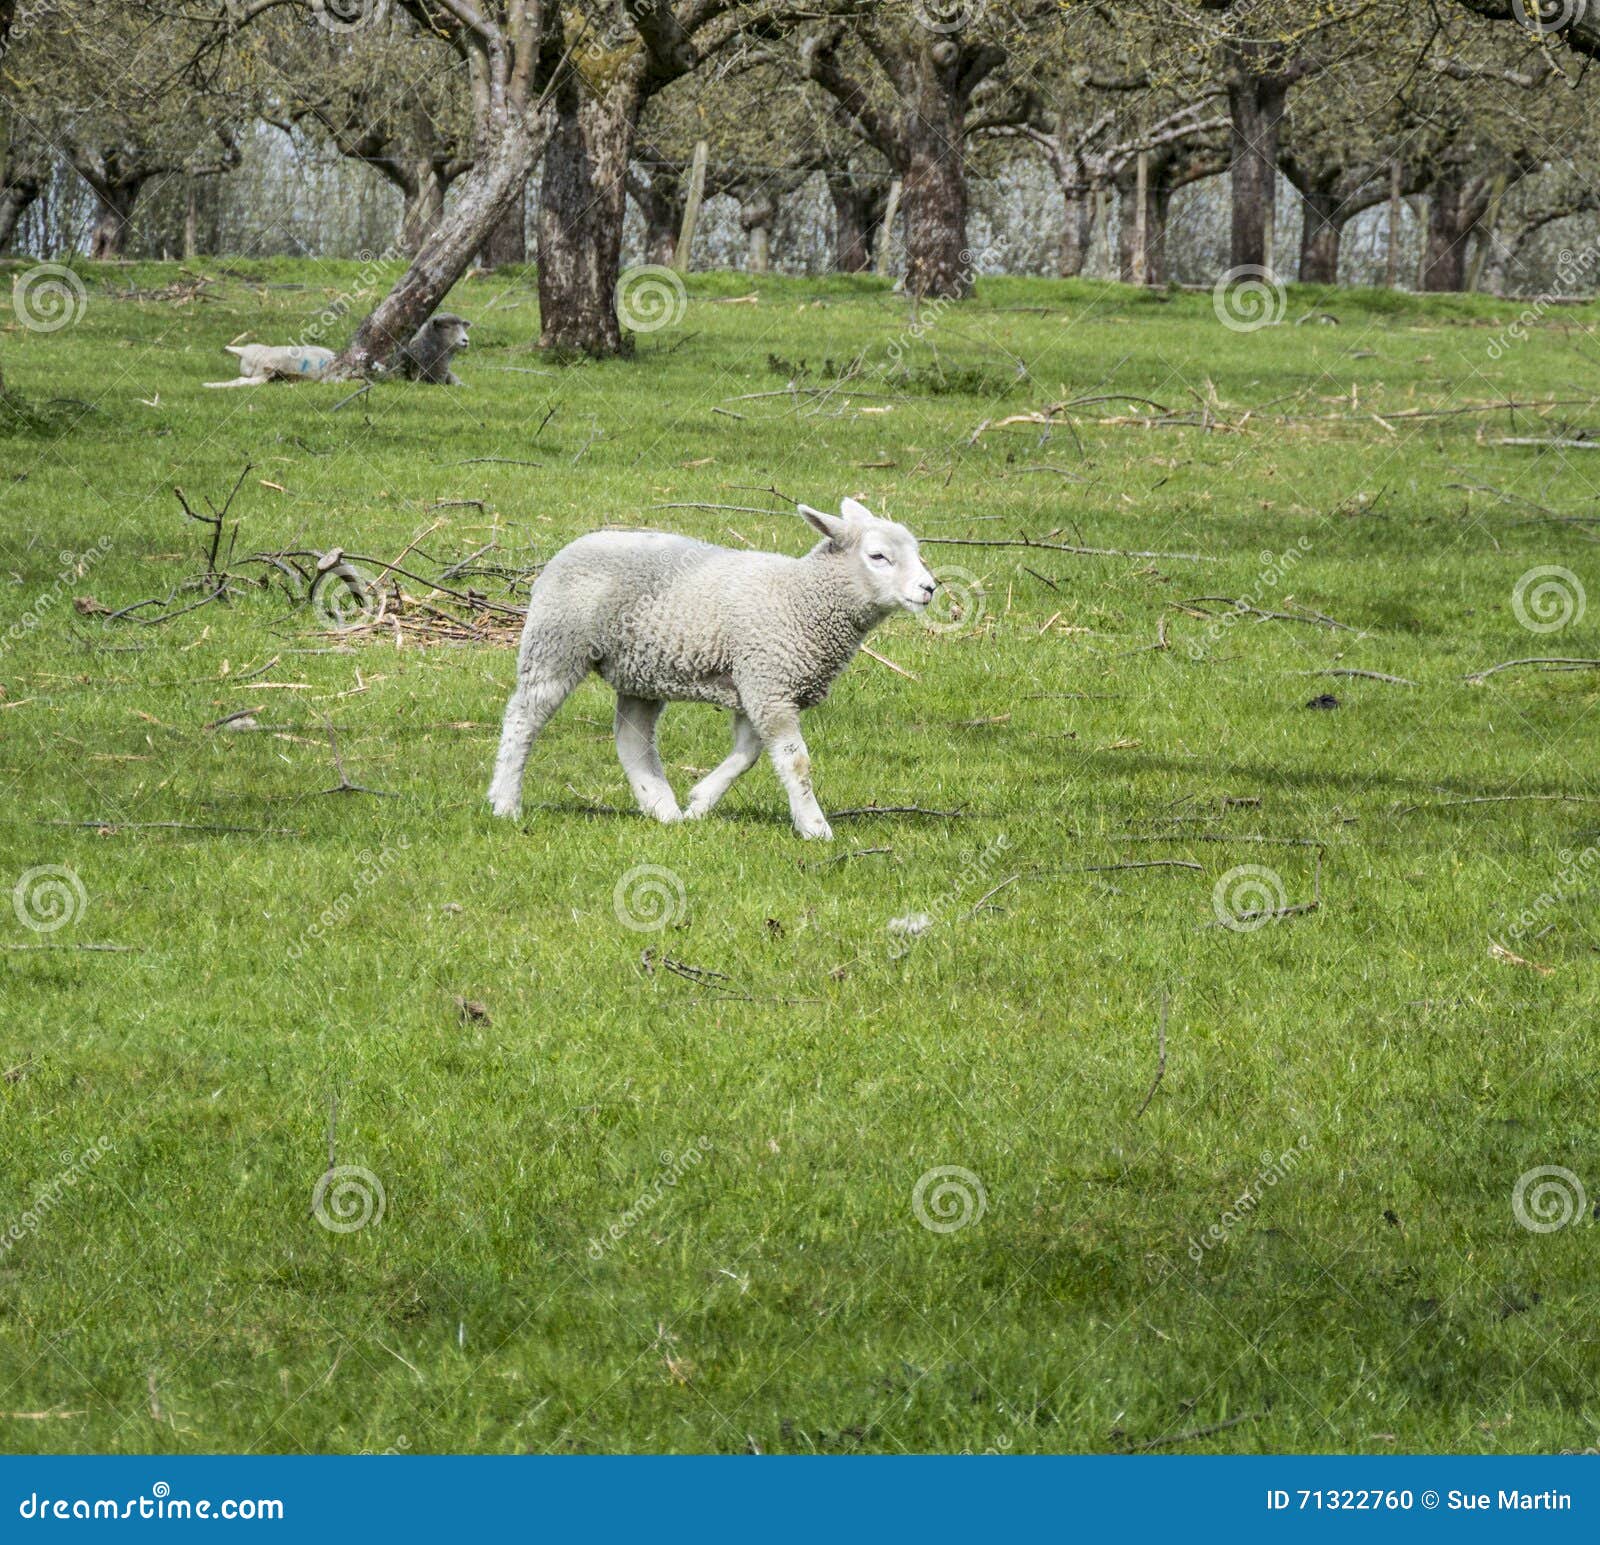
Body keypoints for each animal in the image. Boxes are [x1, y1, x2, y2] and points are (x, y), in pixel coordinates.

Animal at [488, 498, 938, 840]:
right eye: (878, 556)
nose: (929, 588)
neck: (801, 597)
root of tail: (570, 548)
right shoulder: (769, 682)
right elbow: (795, 763)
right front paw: (815, 827)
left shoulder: (758, 683)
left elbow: (748, 753)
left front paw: (700, 802)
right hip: (557, 643)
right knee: (523, 719)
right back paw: (505, 802)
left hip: (640, 667)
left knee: (633, 736)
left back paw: (663, 807)